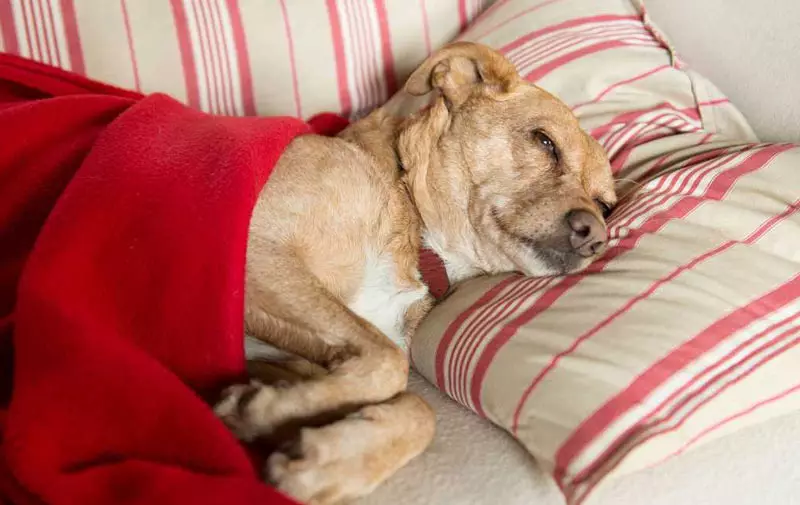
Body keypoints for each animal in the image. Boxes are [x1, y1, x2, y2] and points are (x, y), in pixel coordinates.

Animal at [216, 43, 616, 504]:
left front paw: (322, 463)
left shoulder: (283, 357)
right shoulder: (258, 249)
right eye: (545, 141)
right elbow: (390, 363)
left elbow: (417, 406)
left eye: (605, 205)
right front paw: (262, 412)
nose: (595, 236)